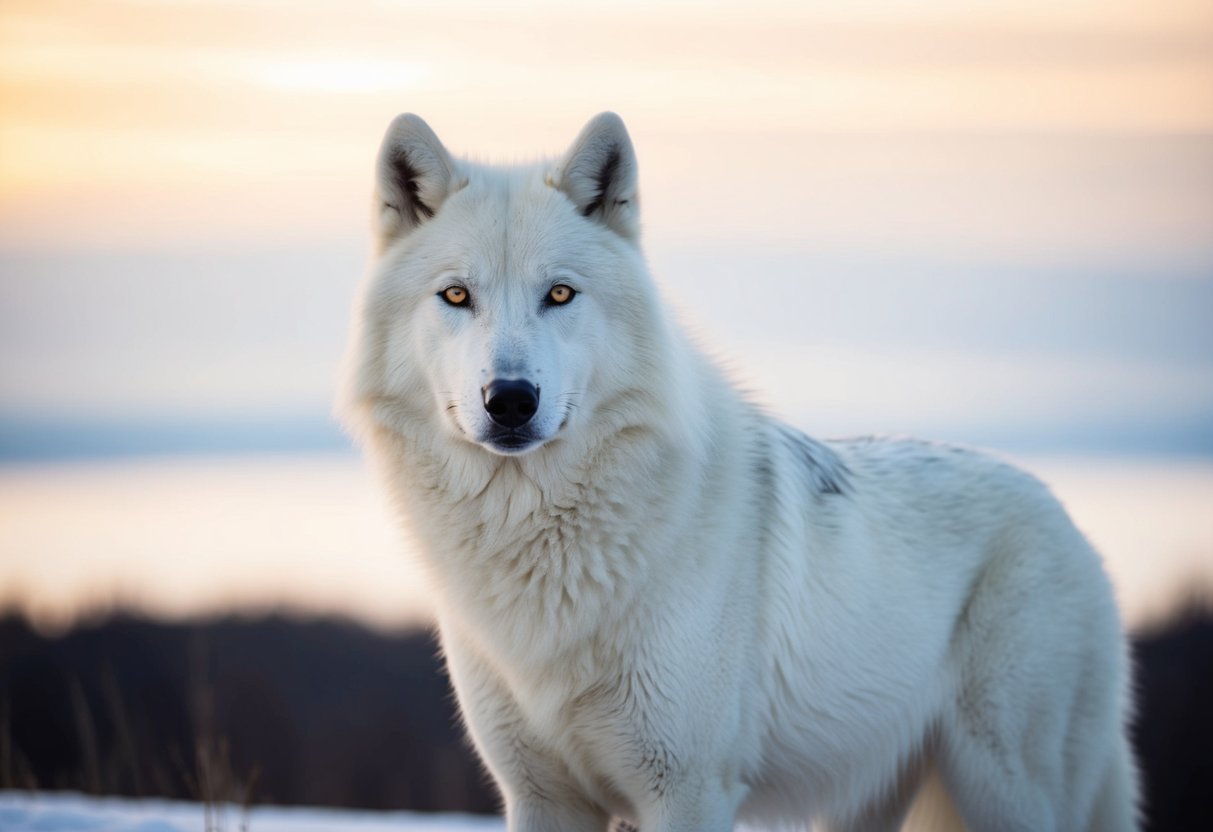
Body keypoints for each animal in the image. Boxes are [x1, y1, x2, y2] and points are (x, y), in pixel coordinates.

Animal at [339, 112, 1139, 831]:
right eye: (456, 295)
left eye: (558, 294)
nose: (510, 400)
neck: (538, 552)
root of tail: (1061, 510)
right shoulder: (540, 799)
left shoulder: (689, 790)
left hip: (1002, 784)